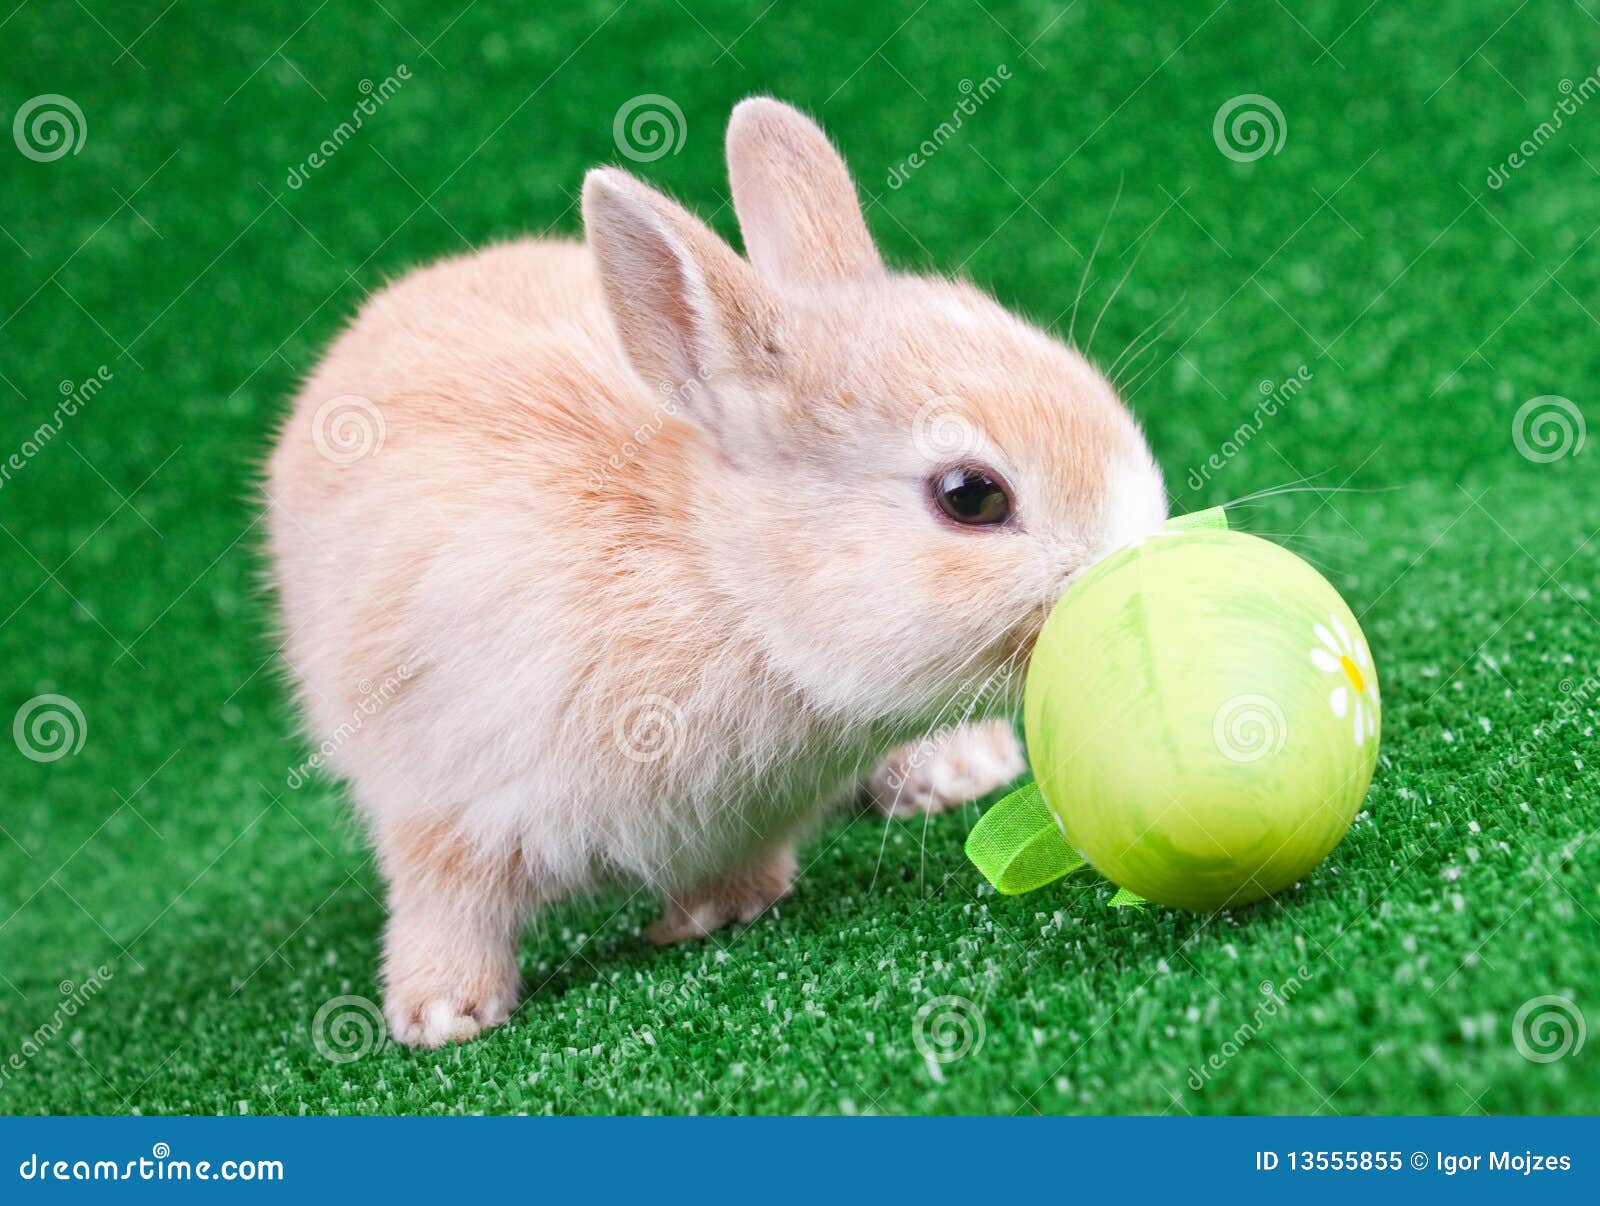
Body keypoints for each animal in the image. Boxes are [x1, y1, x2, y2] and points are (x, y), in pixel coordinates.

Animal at [264, 97, 1168, 1048]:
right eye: (971, 496)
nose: (1134, 568)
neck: (721, 583)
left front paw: (722, 910)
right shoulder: (445, 790)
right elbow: (448, 899)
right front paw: (442, 1016)